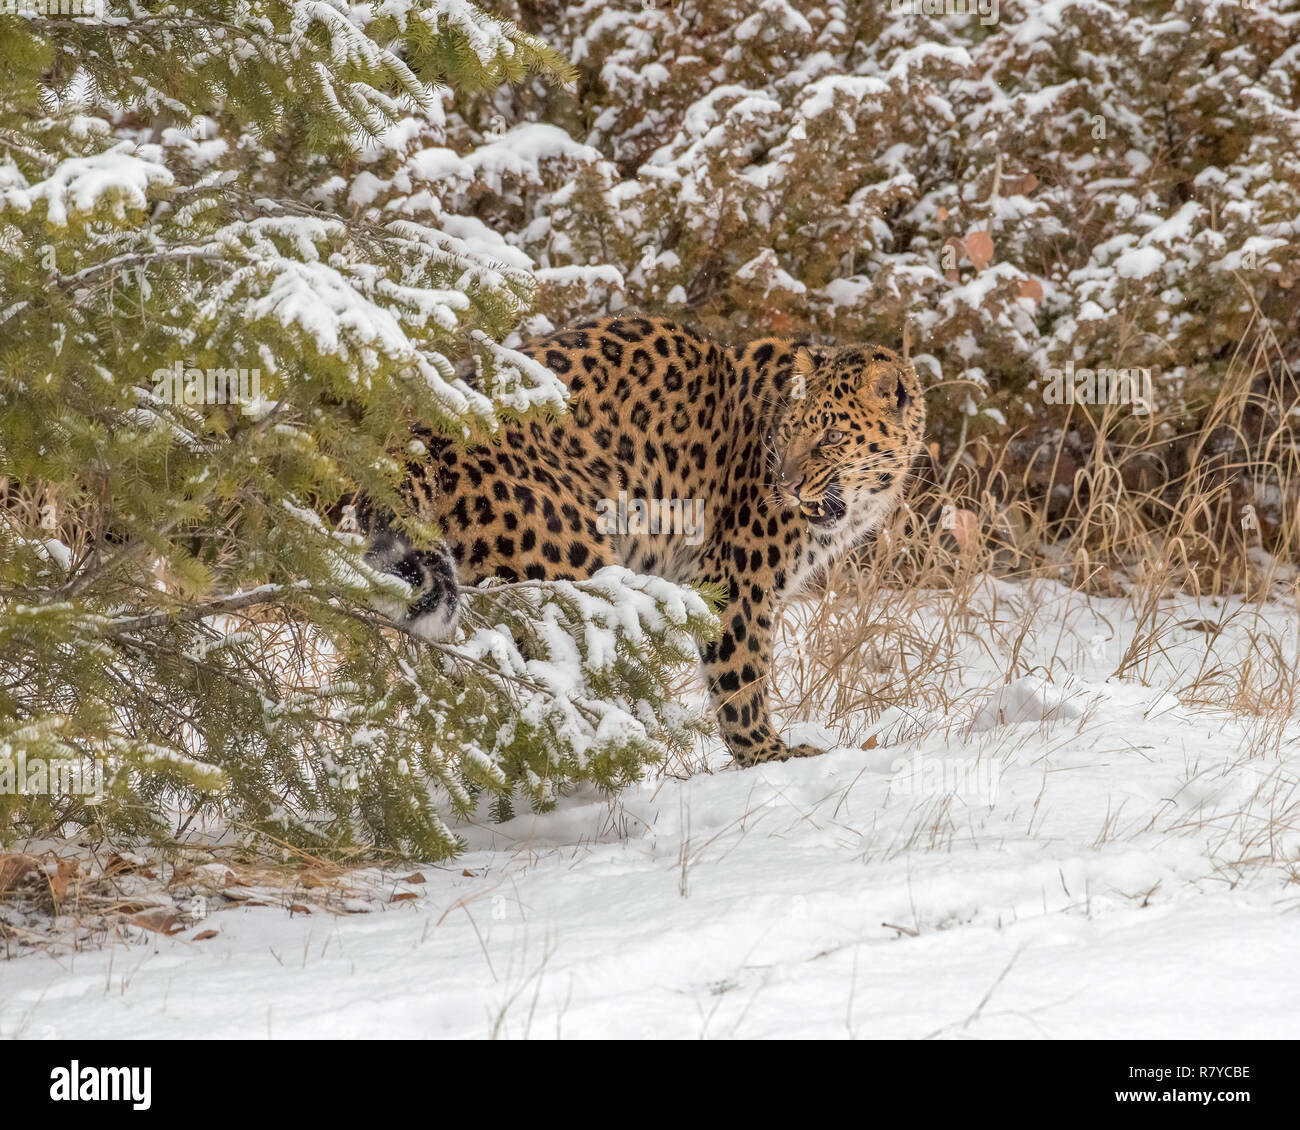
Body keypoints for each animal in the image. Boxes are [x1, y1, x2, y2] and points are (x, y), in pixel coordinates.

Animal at [369, 315, 926, 766]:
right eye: (788, 432)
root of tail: (427, 434)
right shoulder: (736, 578)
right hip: (568, 570)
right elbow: (741, 676)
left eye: (832, 437)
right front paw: (769, 757)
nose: (785, 485)